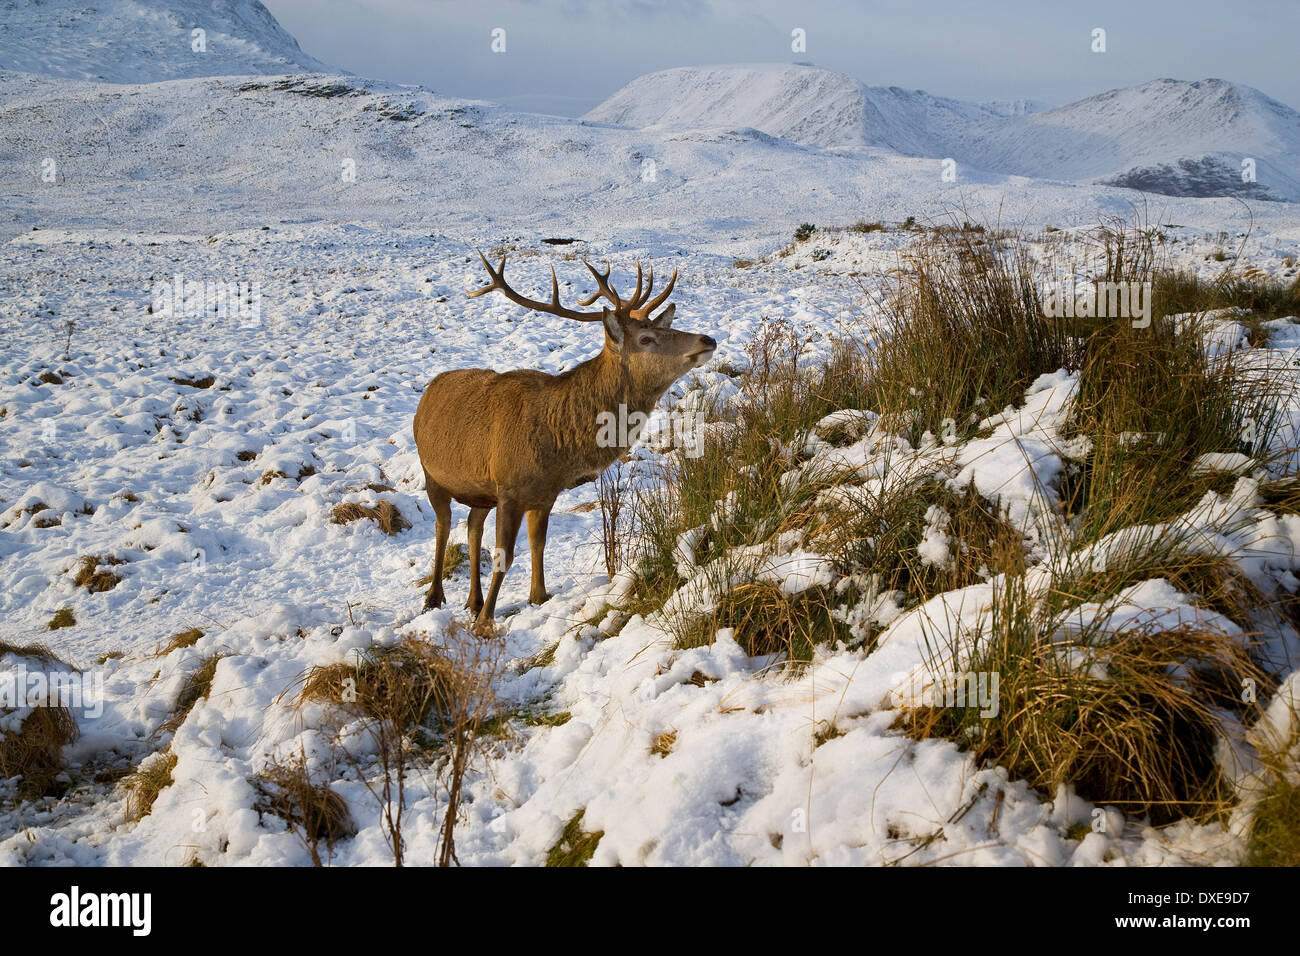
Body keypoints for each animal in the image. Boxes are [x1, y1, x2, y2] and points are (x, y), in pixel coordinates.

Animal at [413, 252, 716, 631]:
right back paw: (435, 598)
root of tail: (429, 390)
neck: (557, 448)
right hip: (432, 473)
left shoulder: (543, 494)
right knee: (442, 527)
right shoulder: (509, 488)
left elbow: (537, 544)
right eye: (646, 338)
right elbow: (503, 557)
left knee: (471, 526)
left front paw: (537, 597)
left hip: (480, 490)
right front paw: (484, 623)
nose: (707, 340)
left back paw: (473, 600)